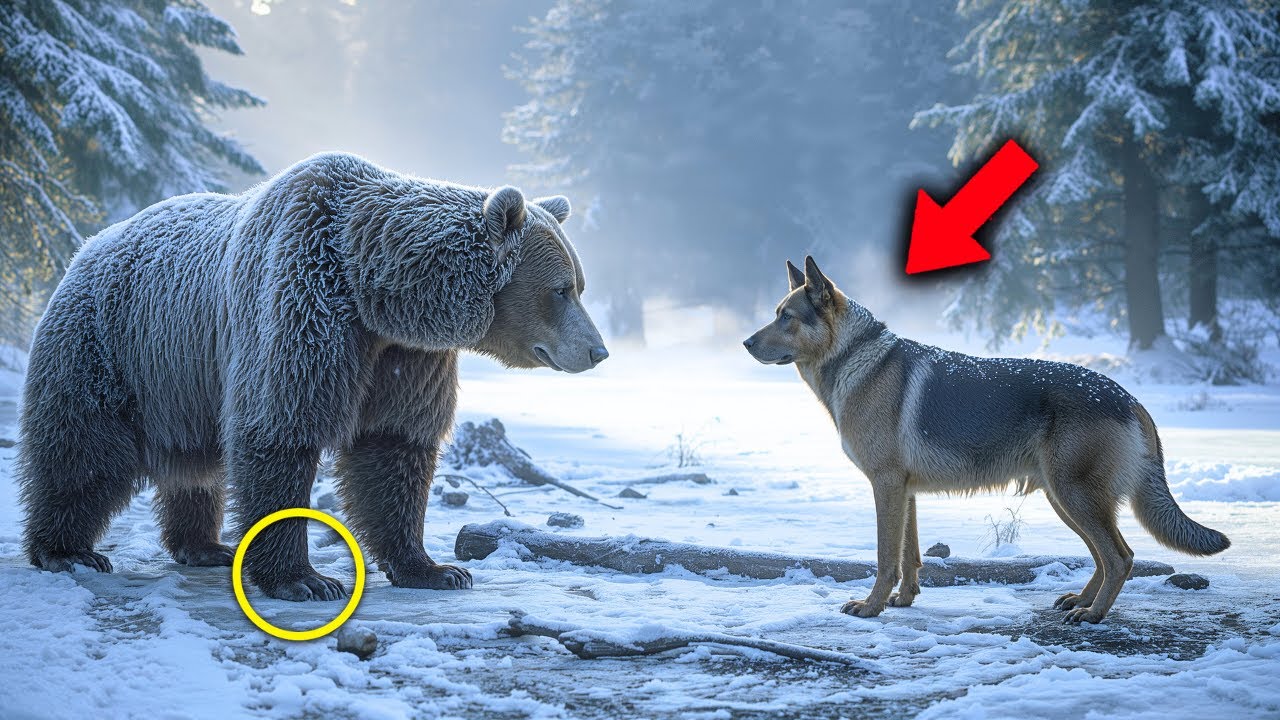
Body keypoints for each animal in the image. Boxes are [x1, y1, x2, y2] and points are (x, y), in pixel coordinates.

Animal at [17, 152, 608, 601]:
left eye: (579, 283)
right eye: (562, 289)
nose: (598, 350)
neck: (371, 291)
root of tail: (85, 248)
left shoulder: (406, 358)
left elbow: (394, 446)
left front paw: (435, 569)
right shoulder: (302, 305)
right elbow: (279, 429)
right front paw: (303, 579)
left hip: (182, 384)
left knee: (193, 466)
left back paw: (204, 545)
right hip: (110, 348)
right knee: (83, 448)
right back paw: (66, 551)